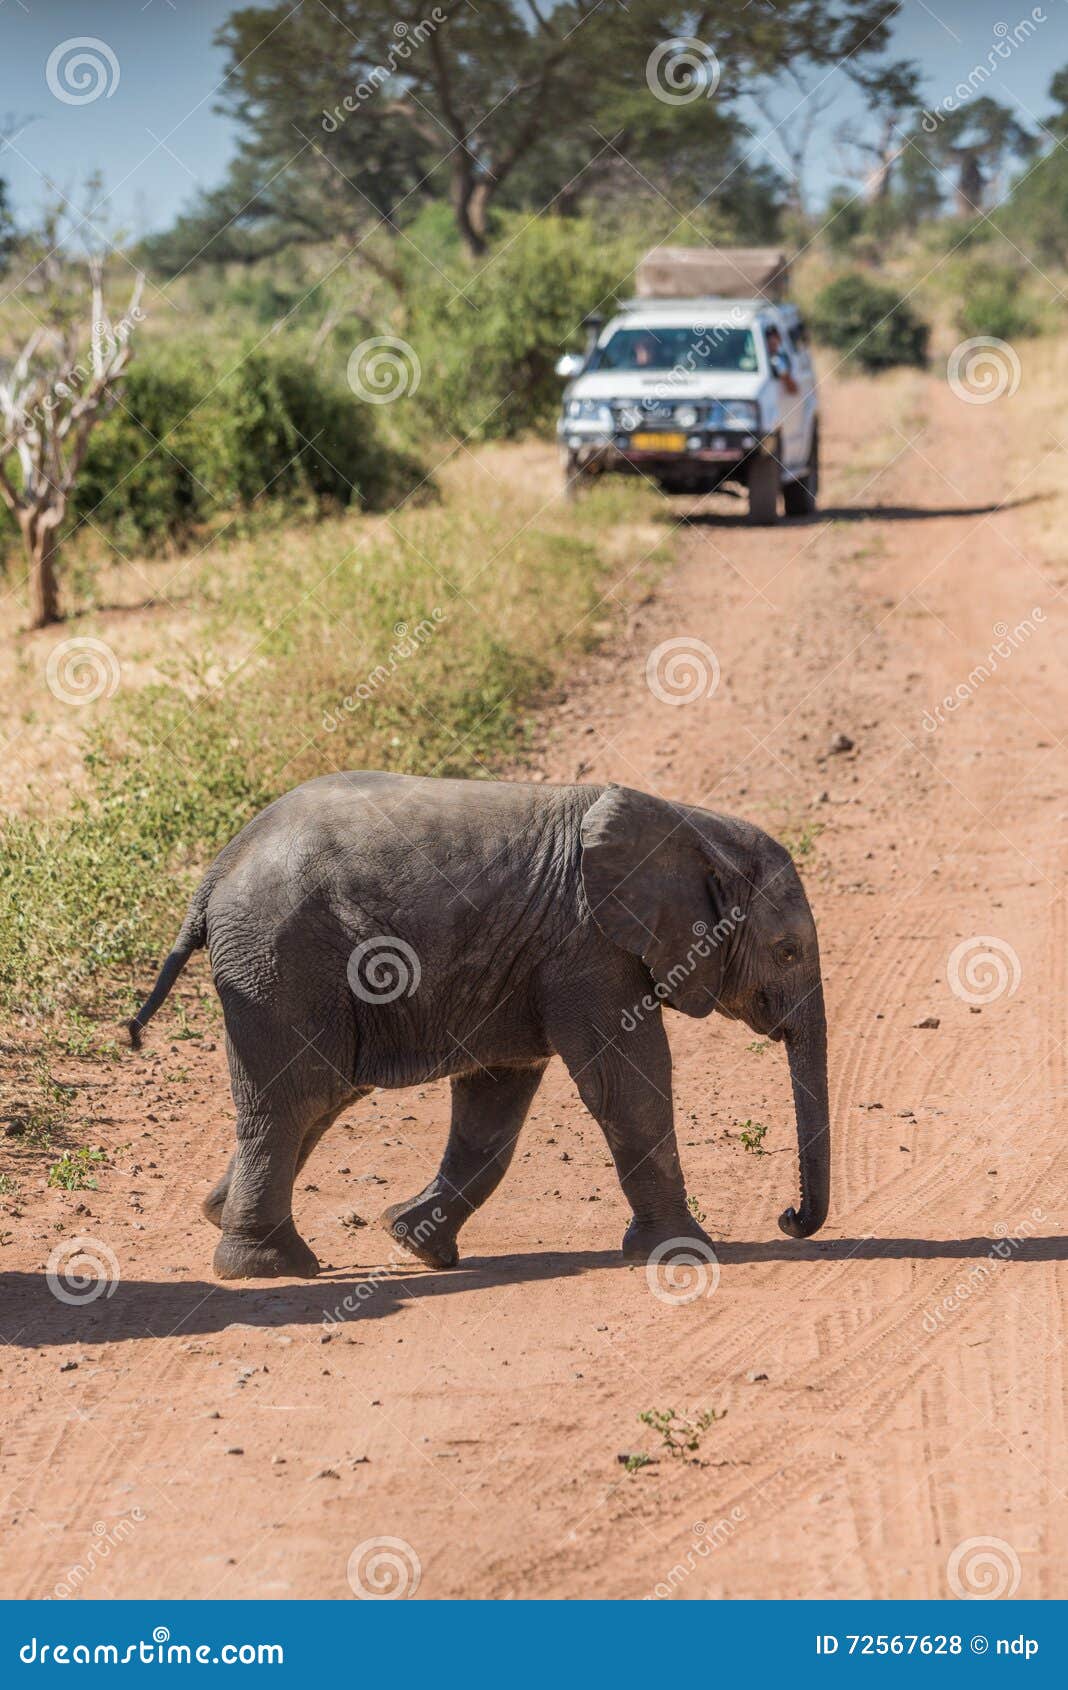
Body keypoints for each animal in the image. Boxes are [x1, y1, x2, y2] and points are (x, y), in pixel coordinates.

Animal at [128, 771, 830, 1280]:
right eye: (788, 951)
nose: (788, 1216)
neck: (689, 827)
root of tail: (216, 871)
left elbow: (495, 1105)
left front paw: (415, 1244)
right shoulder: (588, 948)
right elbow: (626, 1085)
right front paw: (685, 1251)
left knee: (317, 1096)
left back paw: (222, 1219)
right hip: (281, 961)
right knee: (294, 1097)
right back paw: (269, 1268)